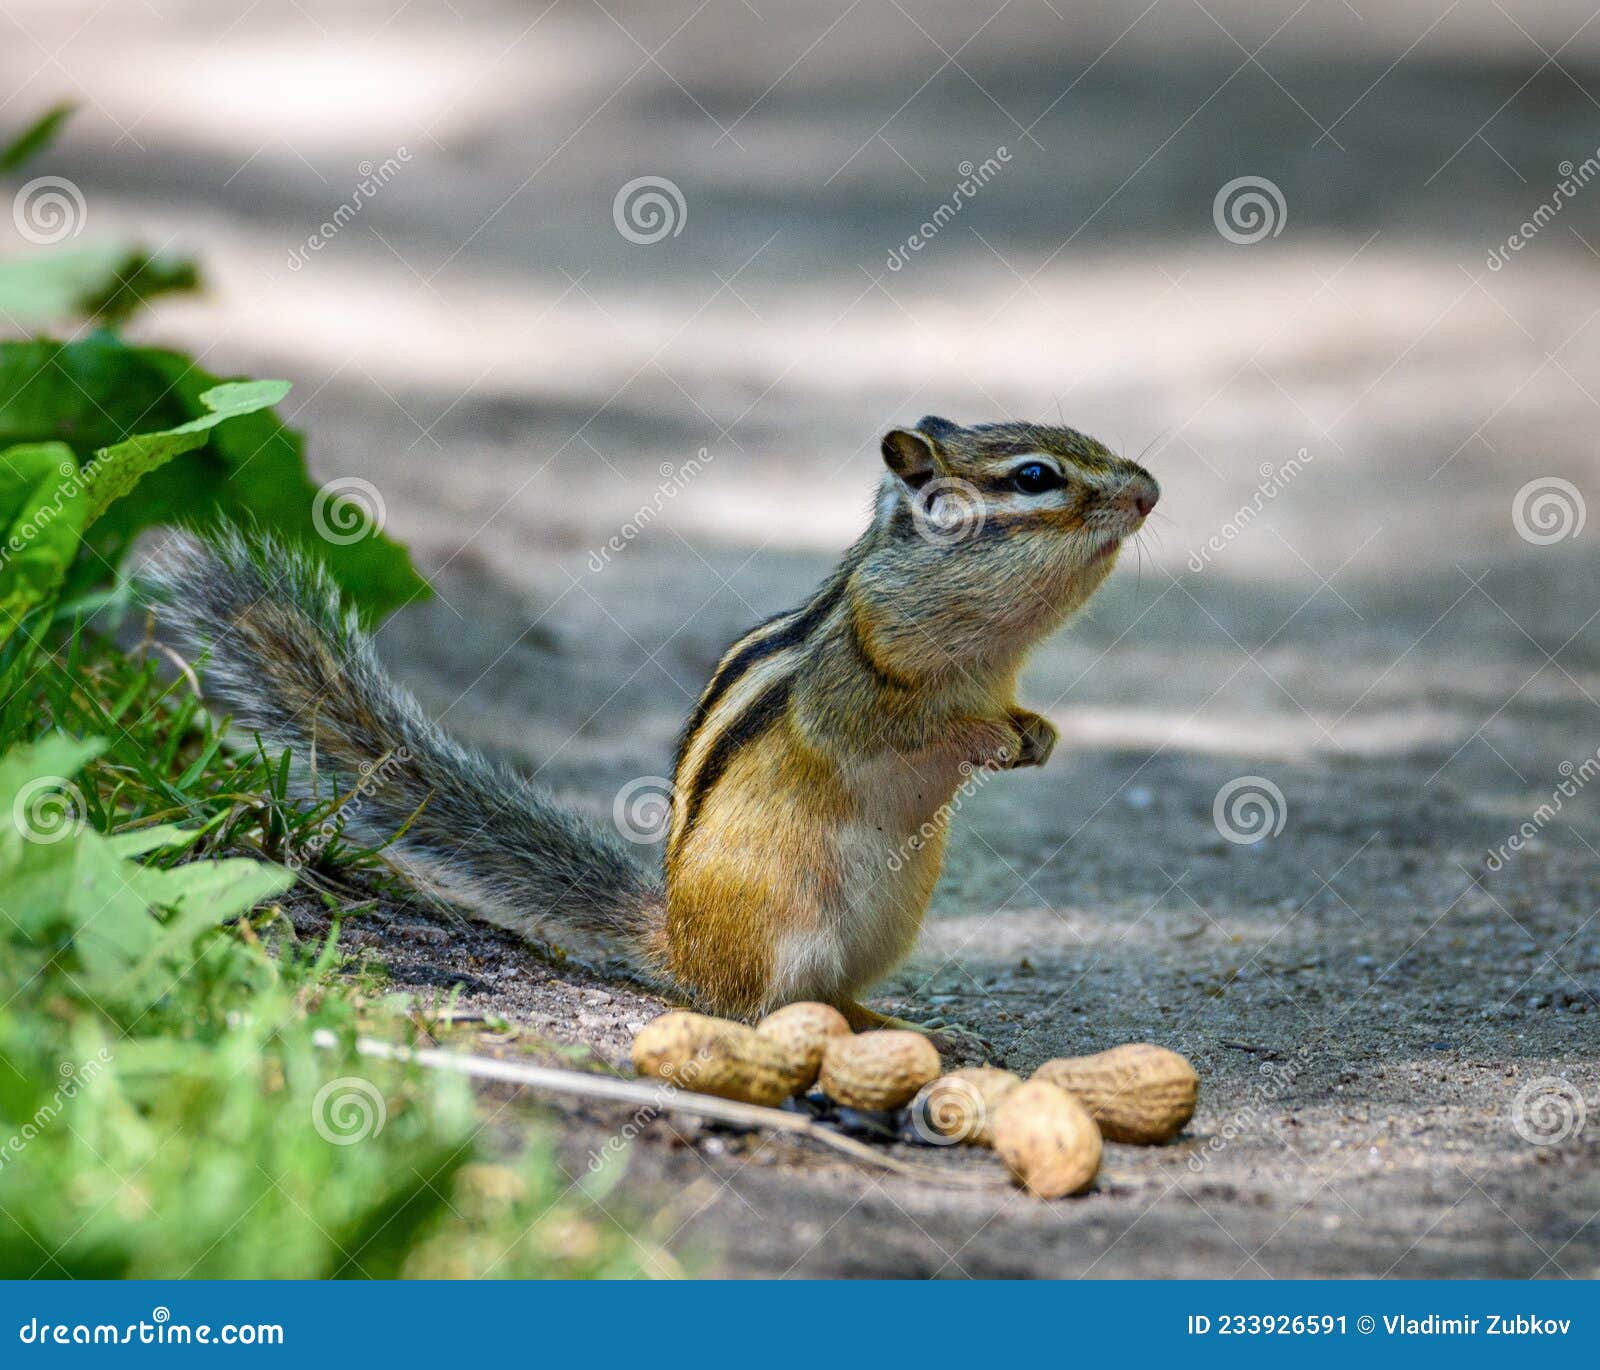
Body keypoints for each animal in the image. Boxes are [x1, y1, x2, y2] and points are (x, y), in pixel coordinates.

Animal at [146, 416, 1157, 1030]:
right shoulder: (856, 685)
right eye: (1036, 476)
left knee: (829, 999)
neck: (979, 650)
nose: (1149, 490)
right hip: (788, 925)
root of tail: (681, 943)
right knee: (765, 1009)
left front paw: (1038, 734)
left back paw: (900, 1024)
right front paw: (982, 741)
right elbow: (899, 732)